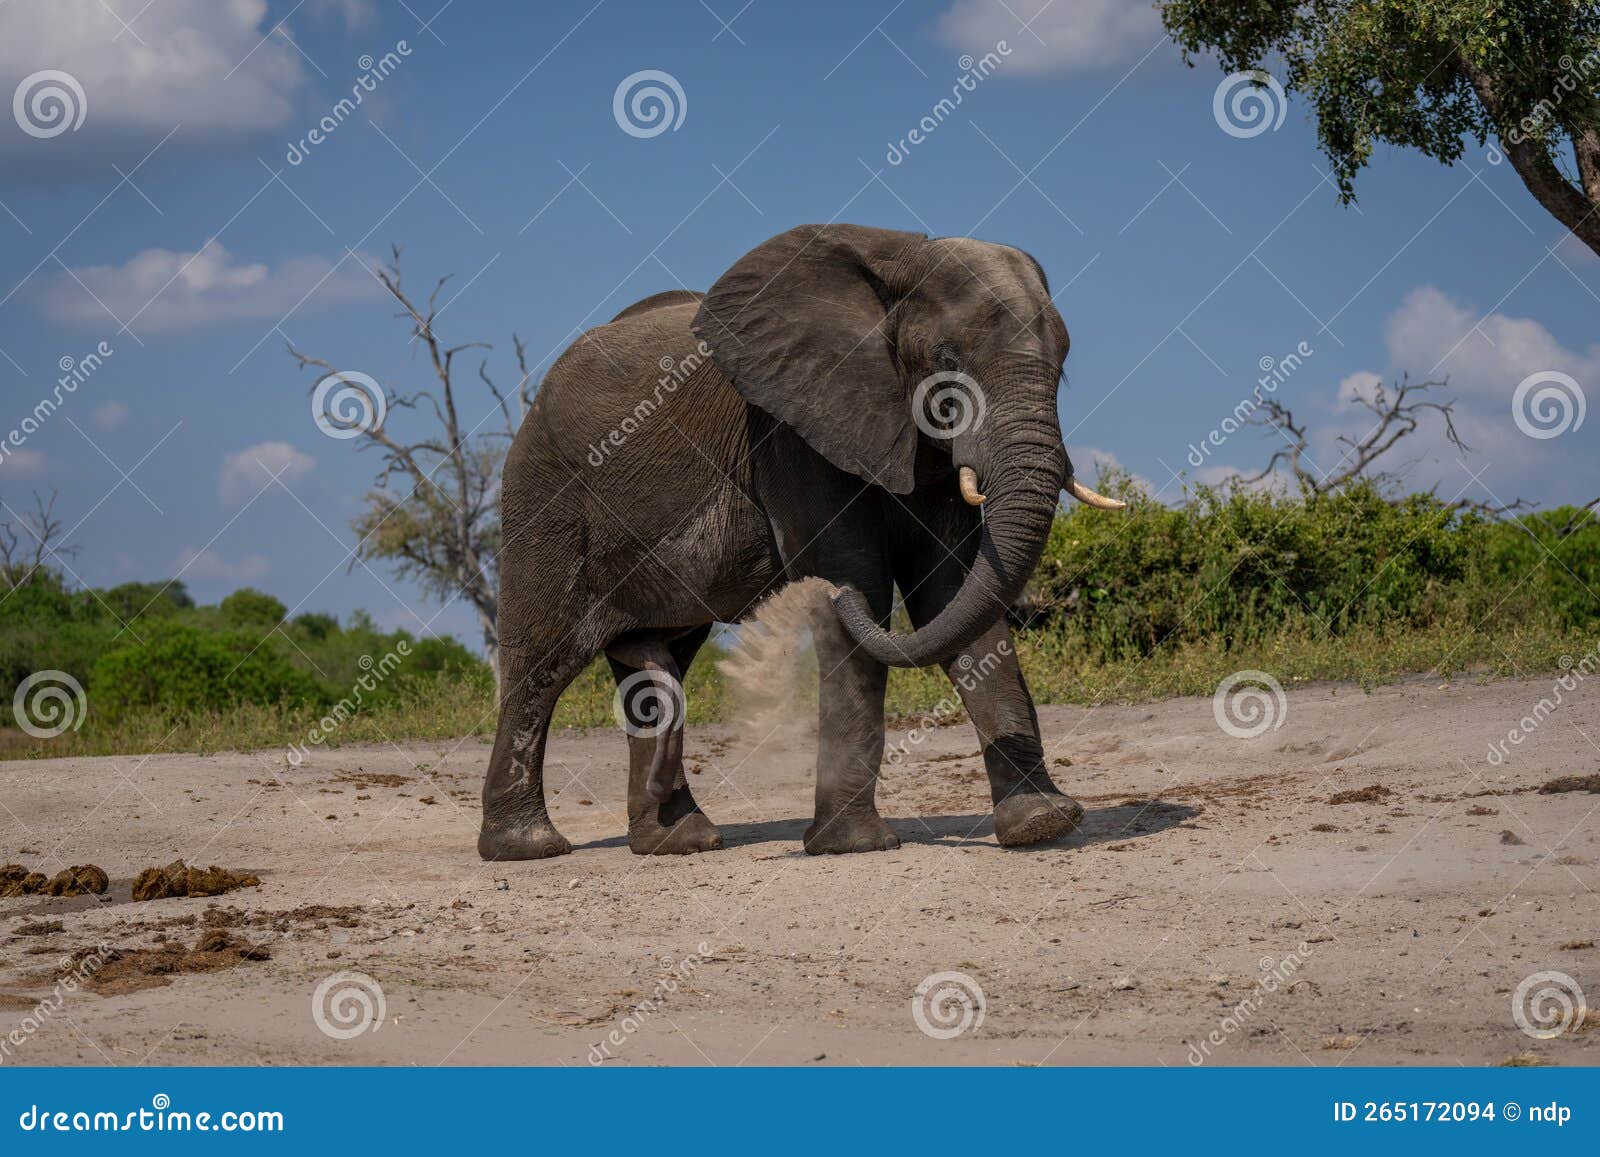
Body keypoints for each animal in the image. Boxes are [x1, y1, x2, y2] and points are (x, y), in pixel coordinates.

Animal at [479, 223, 1125, 862]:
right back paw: (527, 847)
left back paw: (677, 840)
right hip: (545, 497)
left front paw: (1042, 823)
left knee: (660, 659)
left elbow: (952, 589)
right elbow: (863, 579)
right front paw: (855, 846)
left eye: (1064, 362)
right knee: (542, 663)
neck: (899, 258)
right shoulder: (789, 431)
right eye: (946, 363)